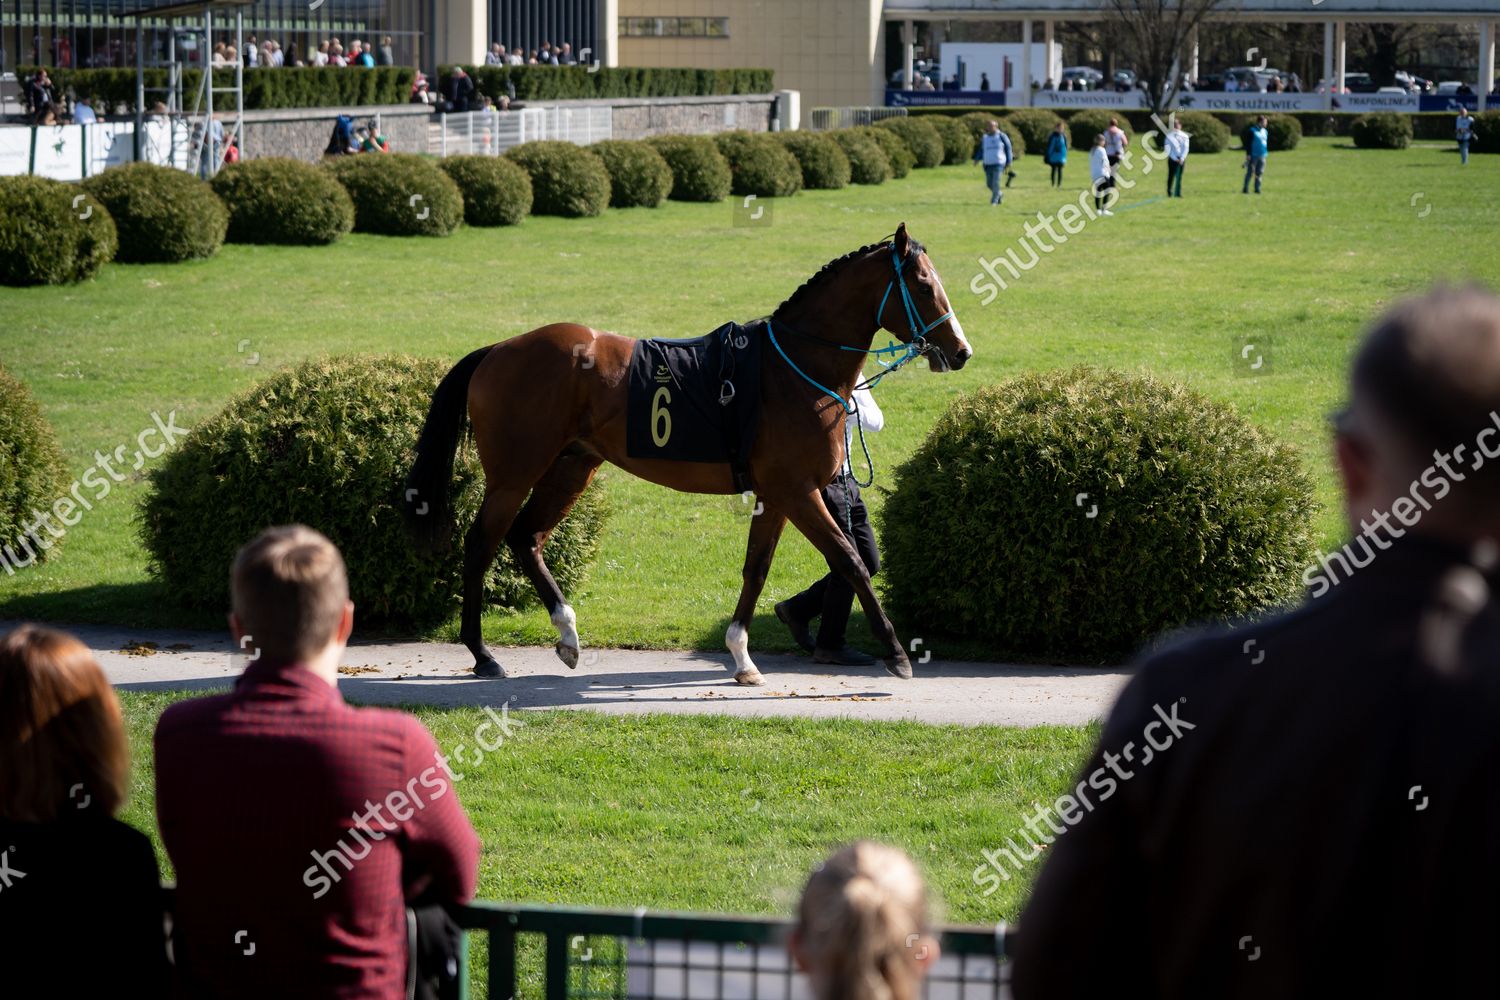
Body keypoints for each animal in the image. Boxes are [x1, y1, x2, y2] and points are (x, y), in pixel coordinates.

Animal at [404, 222, 971, 685]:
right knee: (481, 545)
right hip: (513, 474)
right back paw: (482, 654)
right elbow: (849, 559)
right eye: (924, 285)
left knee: (526, 538)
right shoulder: (797, 490)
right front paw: (897, 652)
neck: (792, 367)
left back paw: (566, 635)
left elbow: (756, 569)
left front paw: (742, 656)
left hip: (572, 465)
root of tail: (498, 350)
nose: (961, 351)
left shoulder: (775, 495)